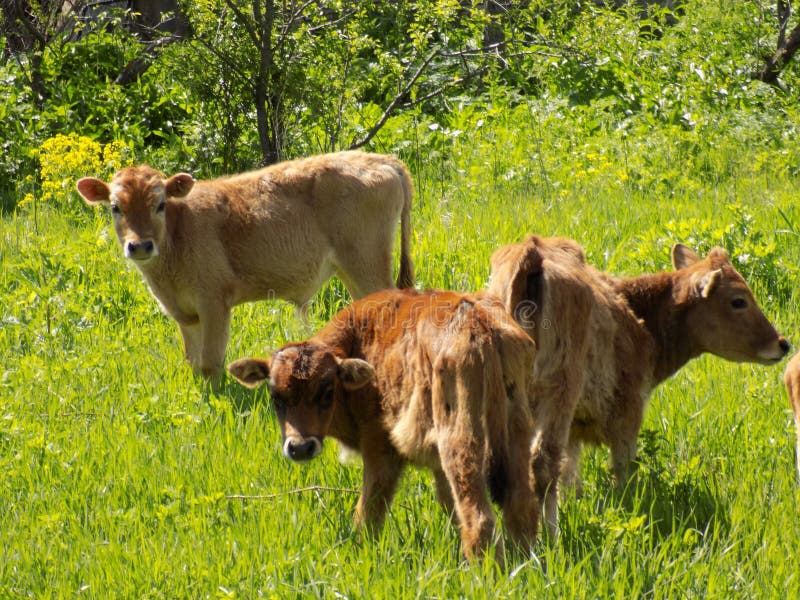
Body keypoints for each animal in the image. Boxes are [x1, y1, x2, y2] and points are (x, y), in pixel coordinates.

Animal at [76, 151, 415, 378]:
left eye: (160, 204)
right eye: (115, 207)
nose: (140, 246)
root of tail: (381, 159)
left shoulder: (214, 303)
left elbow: (210, 363)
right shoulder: (185, 314)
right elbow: (192, 361)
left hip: (367, 266)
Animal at [227, 288, 539, 564]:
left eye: (326, 390)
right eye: (275, 396)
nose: (300, 447)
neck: (360, 344)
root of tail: (480, 327)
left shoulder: (379, 451)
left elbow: (368, 512)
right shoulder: (436, 466)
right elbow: (448, 502)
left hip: (460, 440)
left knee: (480, 517)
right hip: (517, 433)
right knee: (520, 505)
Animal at [488, 235, 790, 537]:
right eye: (738, 300)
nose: (782, 343)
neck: (638, 314)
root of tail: (532, 254)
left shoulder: (575, 429)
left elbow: (570, 474)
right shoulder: (626, 415)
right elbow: (622, 468)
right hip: (558, 392)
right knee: (542, 463)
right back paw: (550, 538)